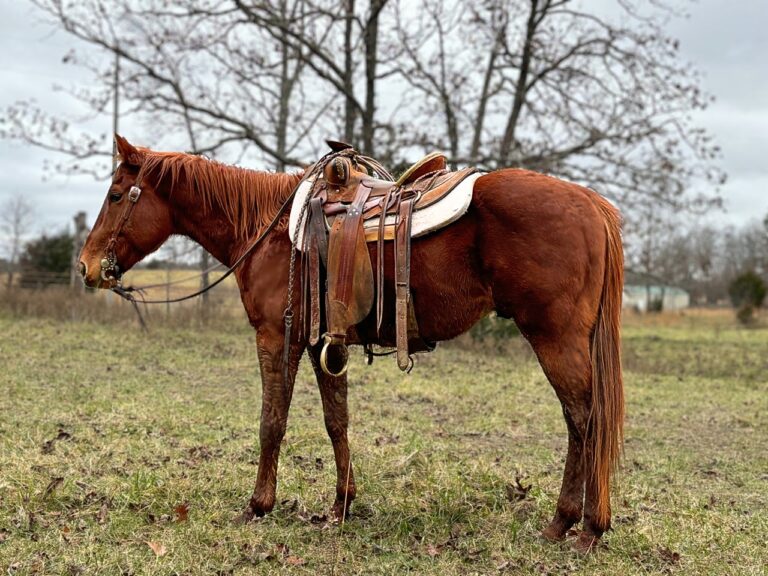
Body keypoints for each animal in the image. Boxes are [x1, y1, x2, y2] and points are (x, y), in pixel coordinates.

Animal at [78, 135, 624, 552]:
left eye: (116, 195)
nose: (86, 268)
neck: (267, 229)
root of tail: (592, 205)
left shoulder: (277, 336)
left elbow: (272, 423)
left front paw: (257, 506)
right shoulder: (322, 342)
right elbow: (335, 420)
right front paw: (341, 505)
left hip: (555, 337)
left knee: (585, 420)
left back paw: (580, 527)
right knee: (583, 422)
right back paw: (572, 524)